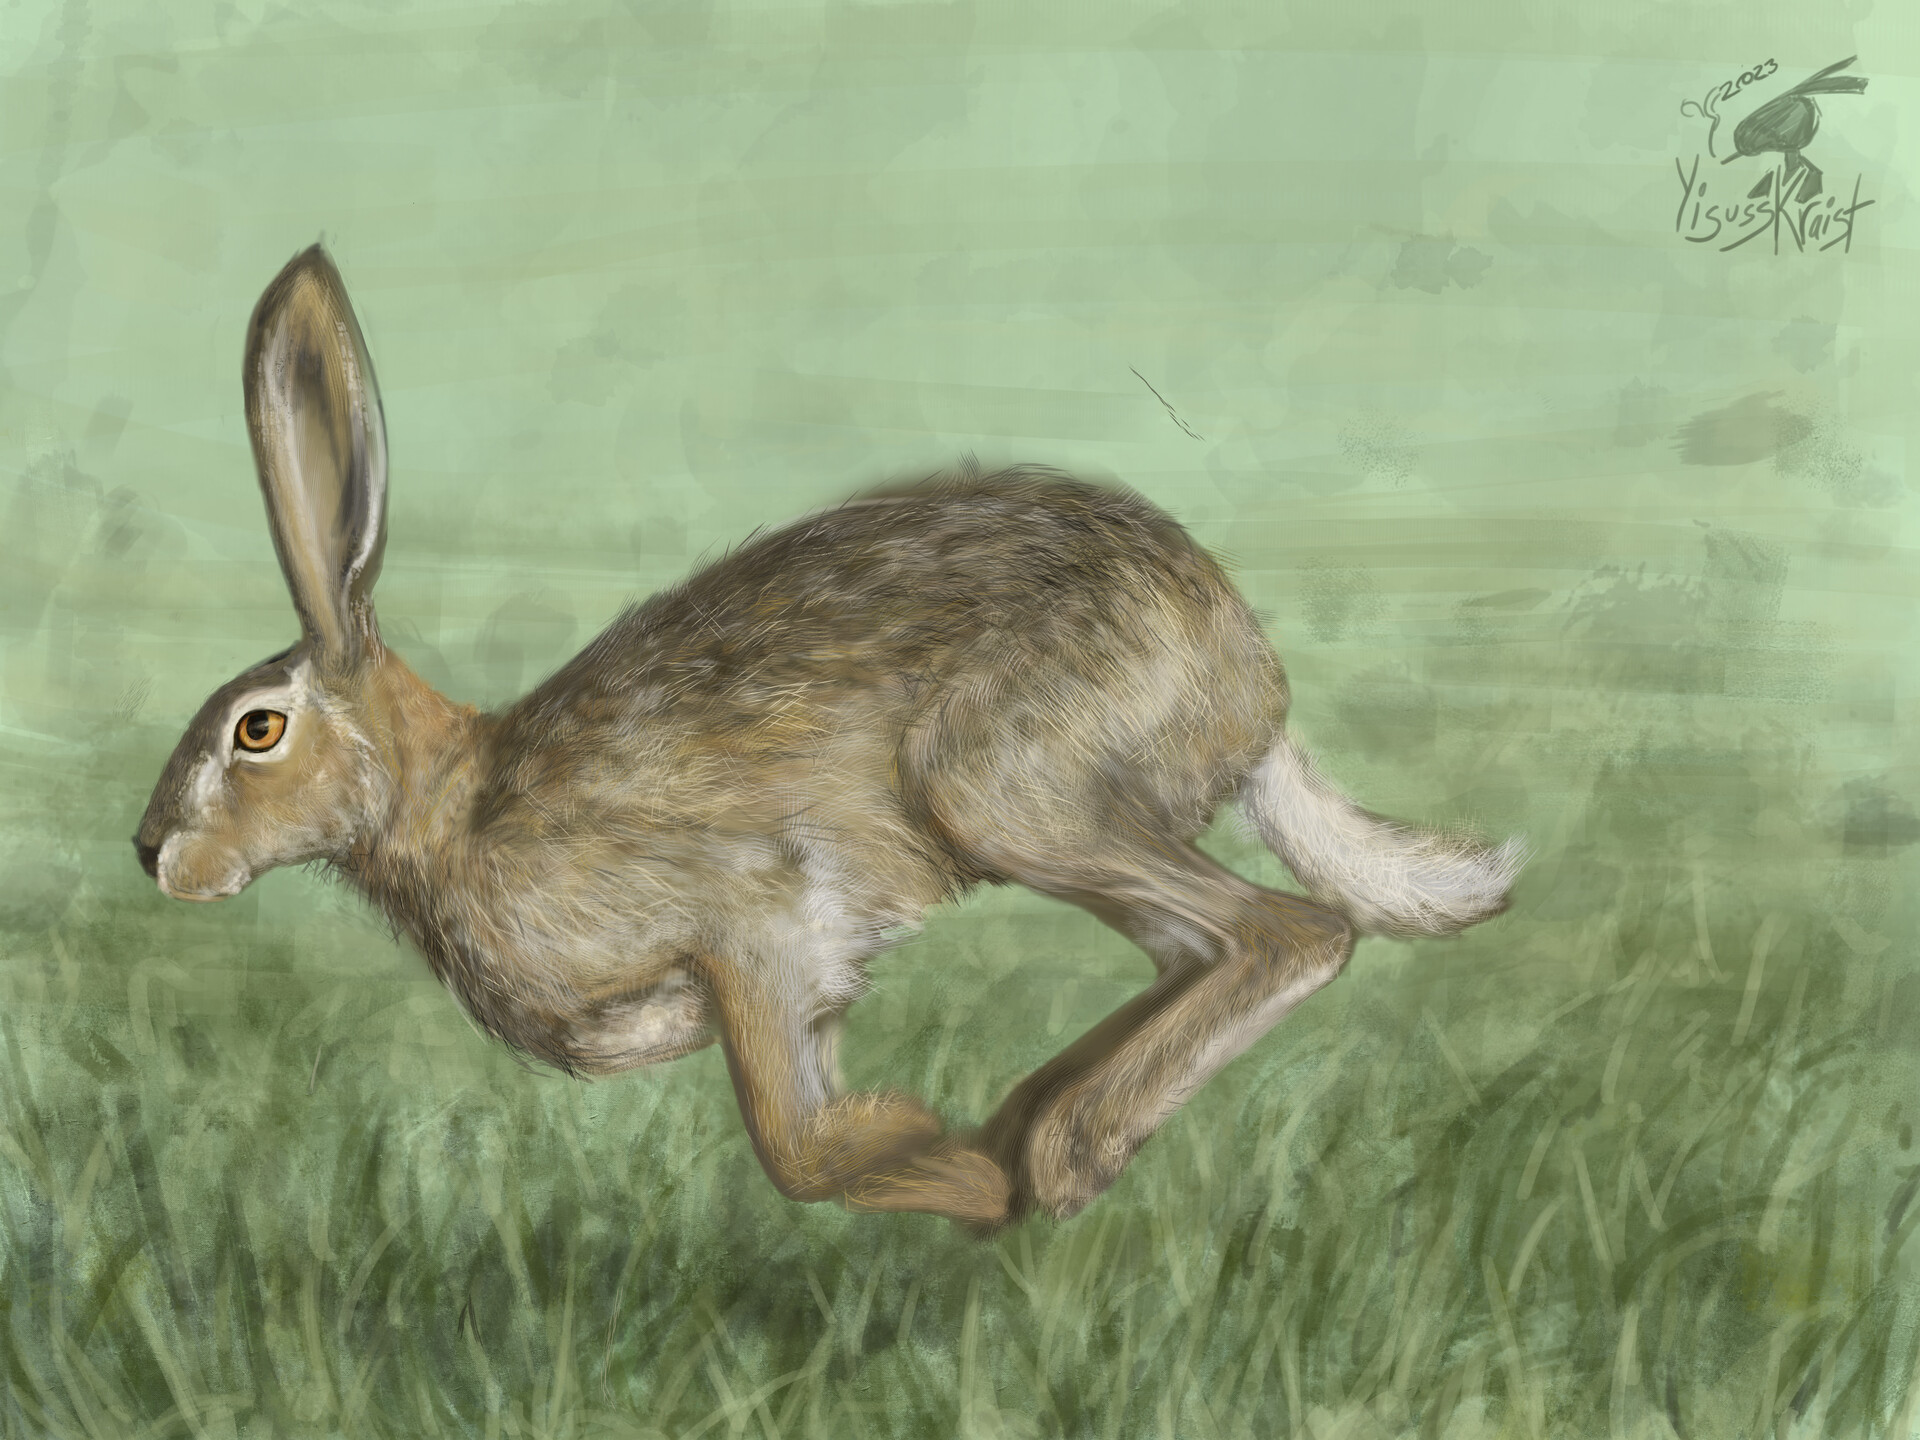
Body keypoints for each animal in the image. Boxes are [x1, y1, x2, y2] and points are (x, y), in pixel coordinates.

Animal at [136, 244, 1525, 1229]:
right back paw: (1049, 1127)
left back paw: (1055, 1160)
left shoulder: (759, 915)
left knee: (1289, 934)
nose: (150, 853)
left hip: (1002, 784)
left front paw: (942, 1167)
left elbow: (790, 1144)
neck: (441, 799)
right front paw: (950, 1158)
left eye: (256, 731)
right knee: (1204, 947)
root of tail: (1250, 683)